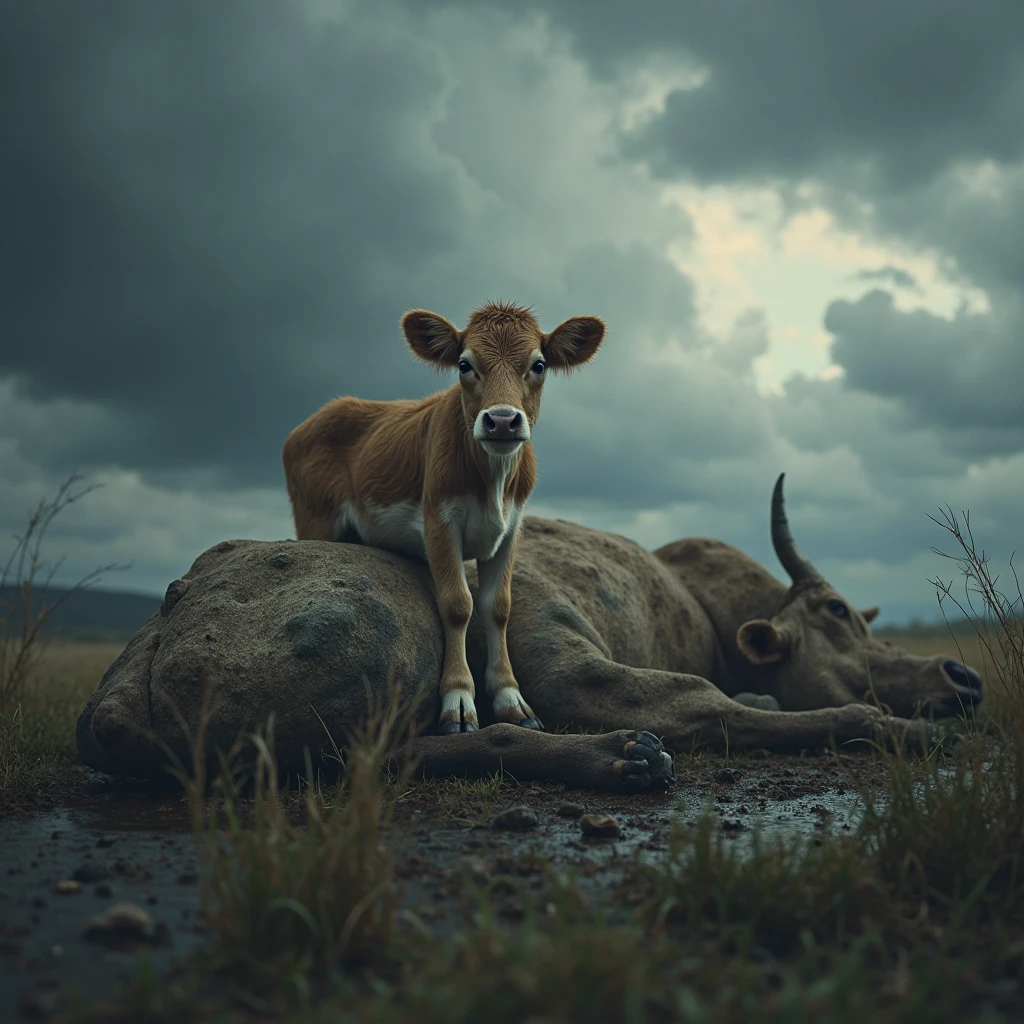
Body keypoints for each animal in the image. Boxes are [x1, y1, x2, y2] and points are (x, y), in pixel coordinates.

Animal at [282, 300, 606, 736]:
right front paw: (459, 703)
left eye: (538, 365)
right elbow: (457, 603)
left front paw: (511, 699)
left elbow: (498, 606)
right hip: (313, 517)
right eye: (464, 364)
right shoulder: (438, 520)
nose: (501, 420)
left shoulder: (511, 529)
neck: (493, 482)